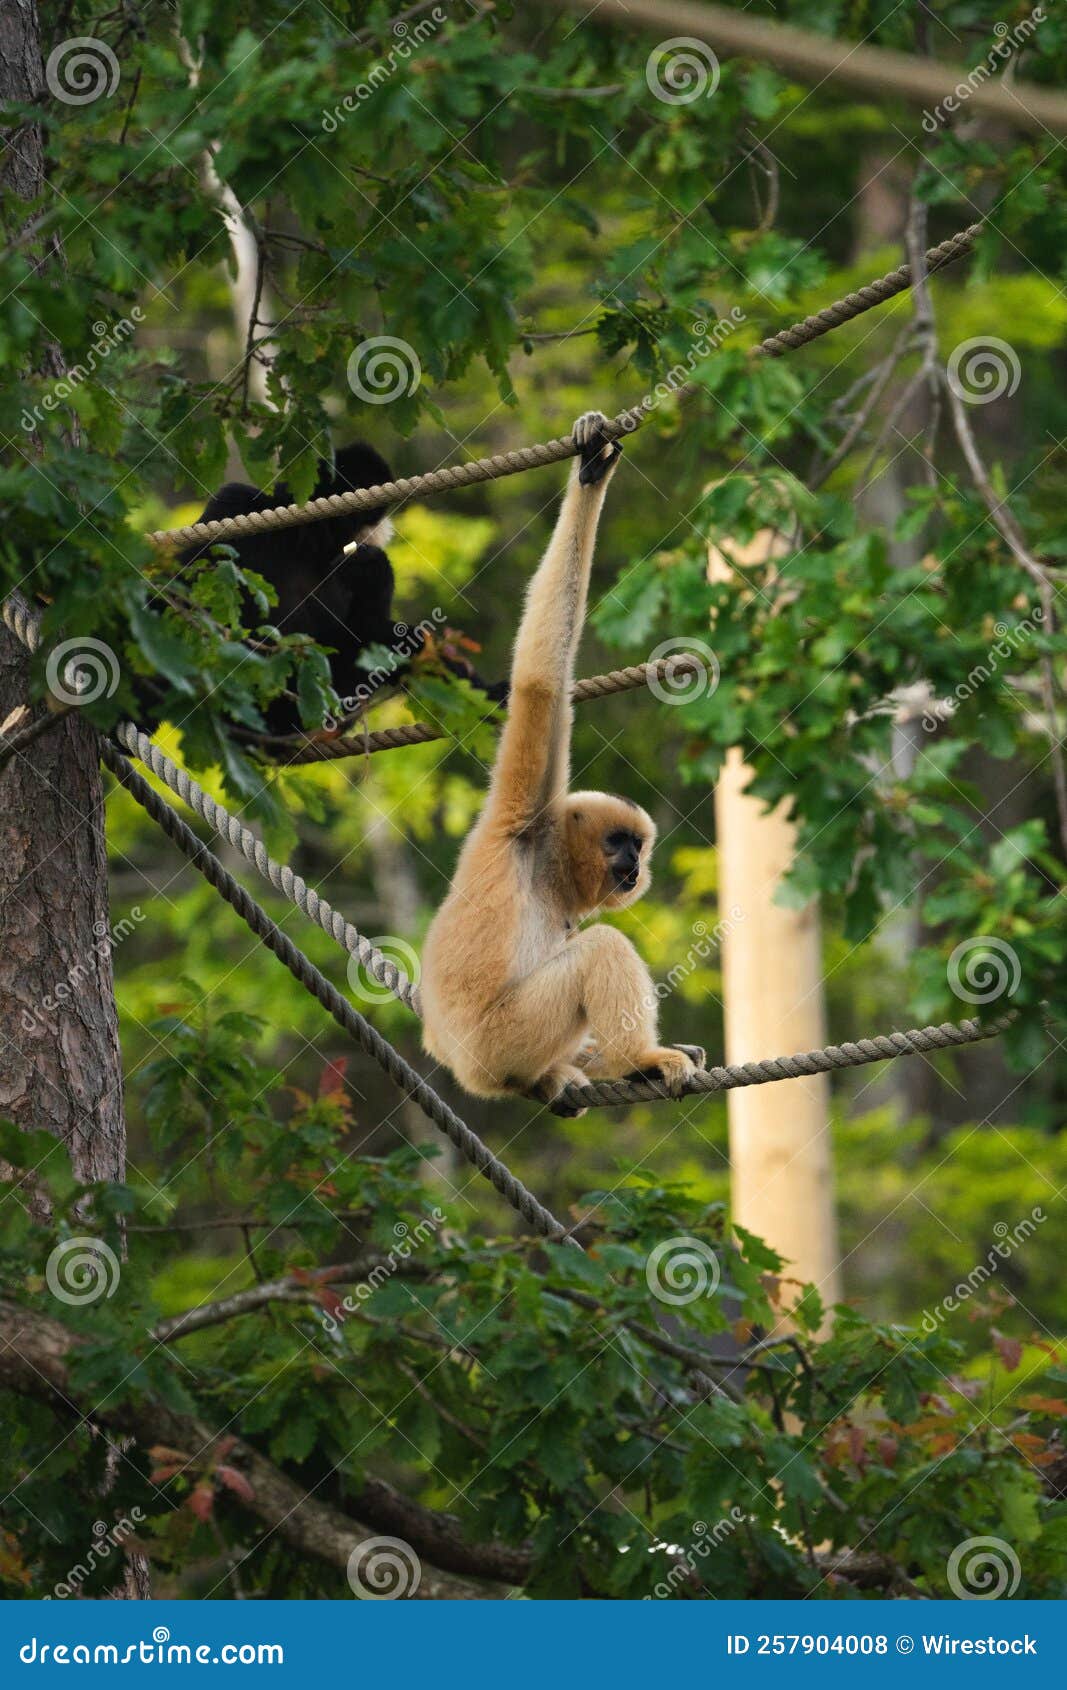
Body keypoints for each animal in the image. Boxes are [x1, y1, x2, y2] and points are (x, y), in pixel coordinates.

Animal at [420, 412, 707, 1115]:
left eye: (639, 847)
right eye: (618, 844)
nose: (634, 865)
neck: (547, 865)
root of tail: (460, 1064)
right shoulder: (523, 808)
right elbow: (540, 687)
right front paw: (588, 474)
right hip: (505, 1037)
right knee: (597, 948)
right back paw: (639, 1059)